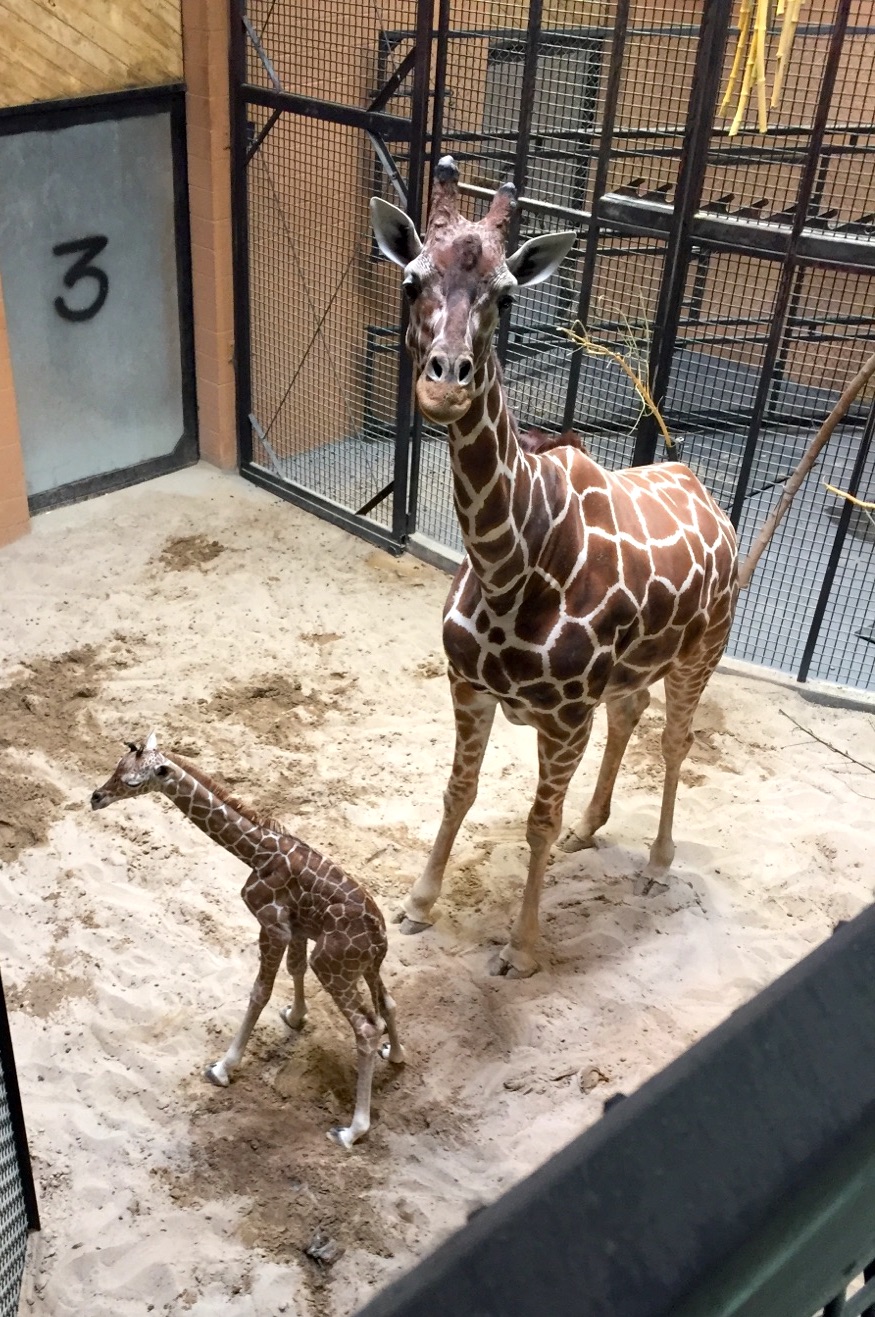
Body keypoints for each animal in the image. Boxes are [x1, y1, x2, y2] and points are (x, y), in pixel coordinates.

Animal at [91, 733, 405, 1147]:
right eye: (117, 765)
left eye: (131, 782)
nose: (96, 798)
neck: (255, 851)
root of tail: (379, 937)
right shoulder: (298, 927)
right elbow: (294, 968)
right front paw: (295, 1017)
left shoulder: (271, 925)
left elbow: (259, 991)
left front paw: (222, 1069)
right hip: (364, 966)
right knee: (387, 1002)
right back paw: (396, 1054)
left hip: (331, 965)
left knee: (367, 1028)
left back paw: (351, 1130)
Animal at [370, 157, 738, 979]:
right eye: (411, 280)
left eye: (506, 294)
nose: (444, 382)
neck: (508, 566)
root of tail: (707, 494)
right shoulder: (467, 685)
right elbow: (458, 792)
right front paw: (417, 904)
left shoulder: (566, 714)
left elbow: (535, 821)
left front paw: (522, 946)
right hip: (634, 668)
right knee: (631, 716)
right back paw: (591, 829)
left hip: (701, 650)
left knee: (674, 741)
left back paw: (656, 861)